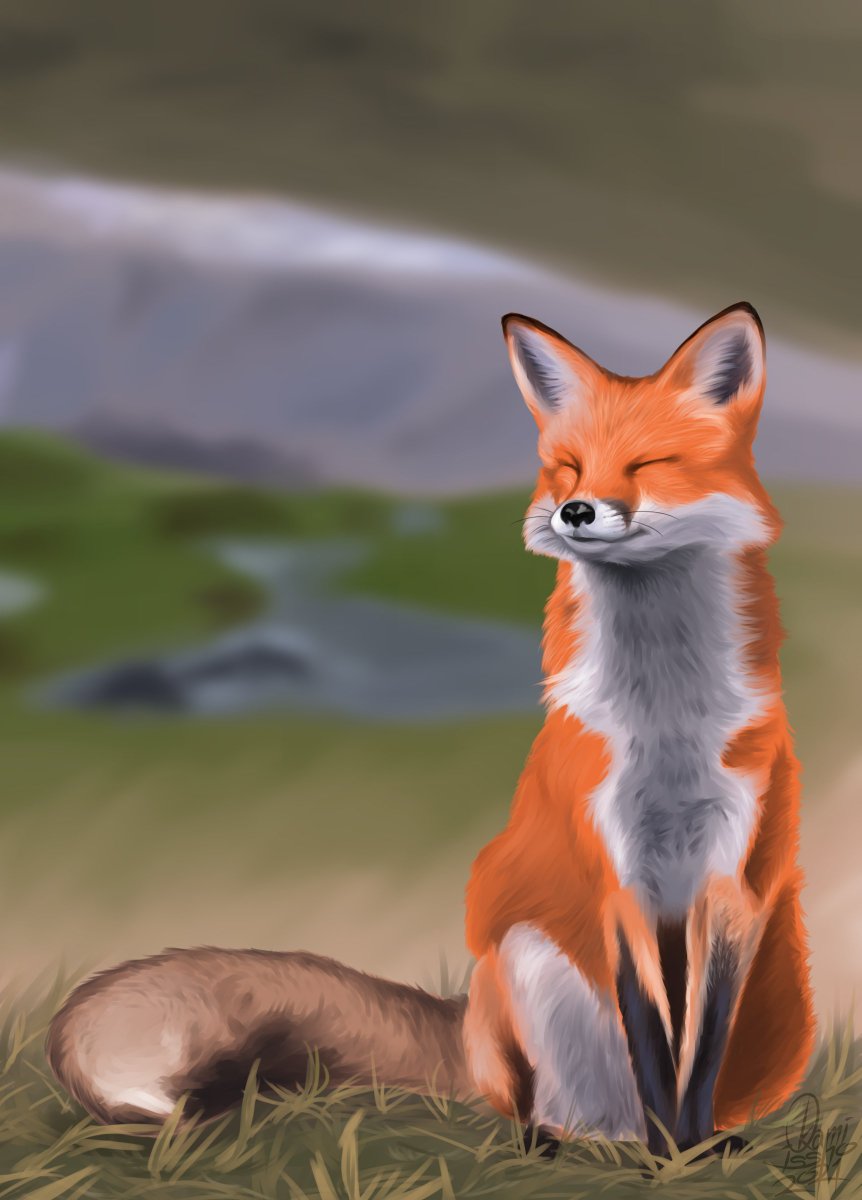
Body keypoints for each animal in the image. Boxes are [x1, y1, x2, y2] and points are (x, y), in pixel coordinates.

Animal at [47, 301, 815, 1156]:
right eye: (569, 468)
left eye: (648, 463)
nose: (574, 512)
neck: (665, 725)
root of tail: (469, 1035)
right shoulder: (615, 877)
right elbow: (652, 1038)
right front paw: (665, 1154)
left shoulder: (732, 880)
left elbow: (701, 1045)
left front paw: (691, 1149)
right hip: (529, 958)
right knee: (541, 1107)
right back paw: (572, 1142)